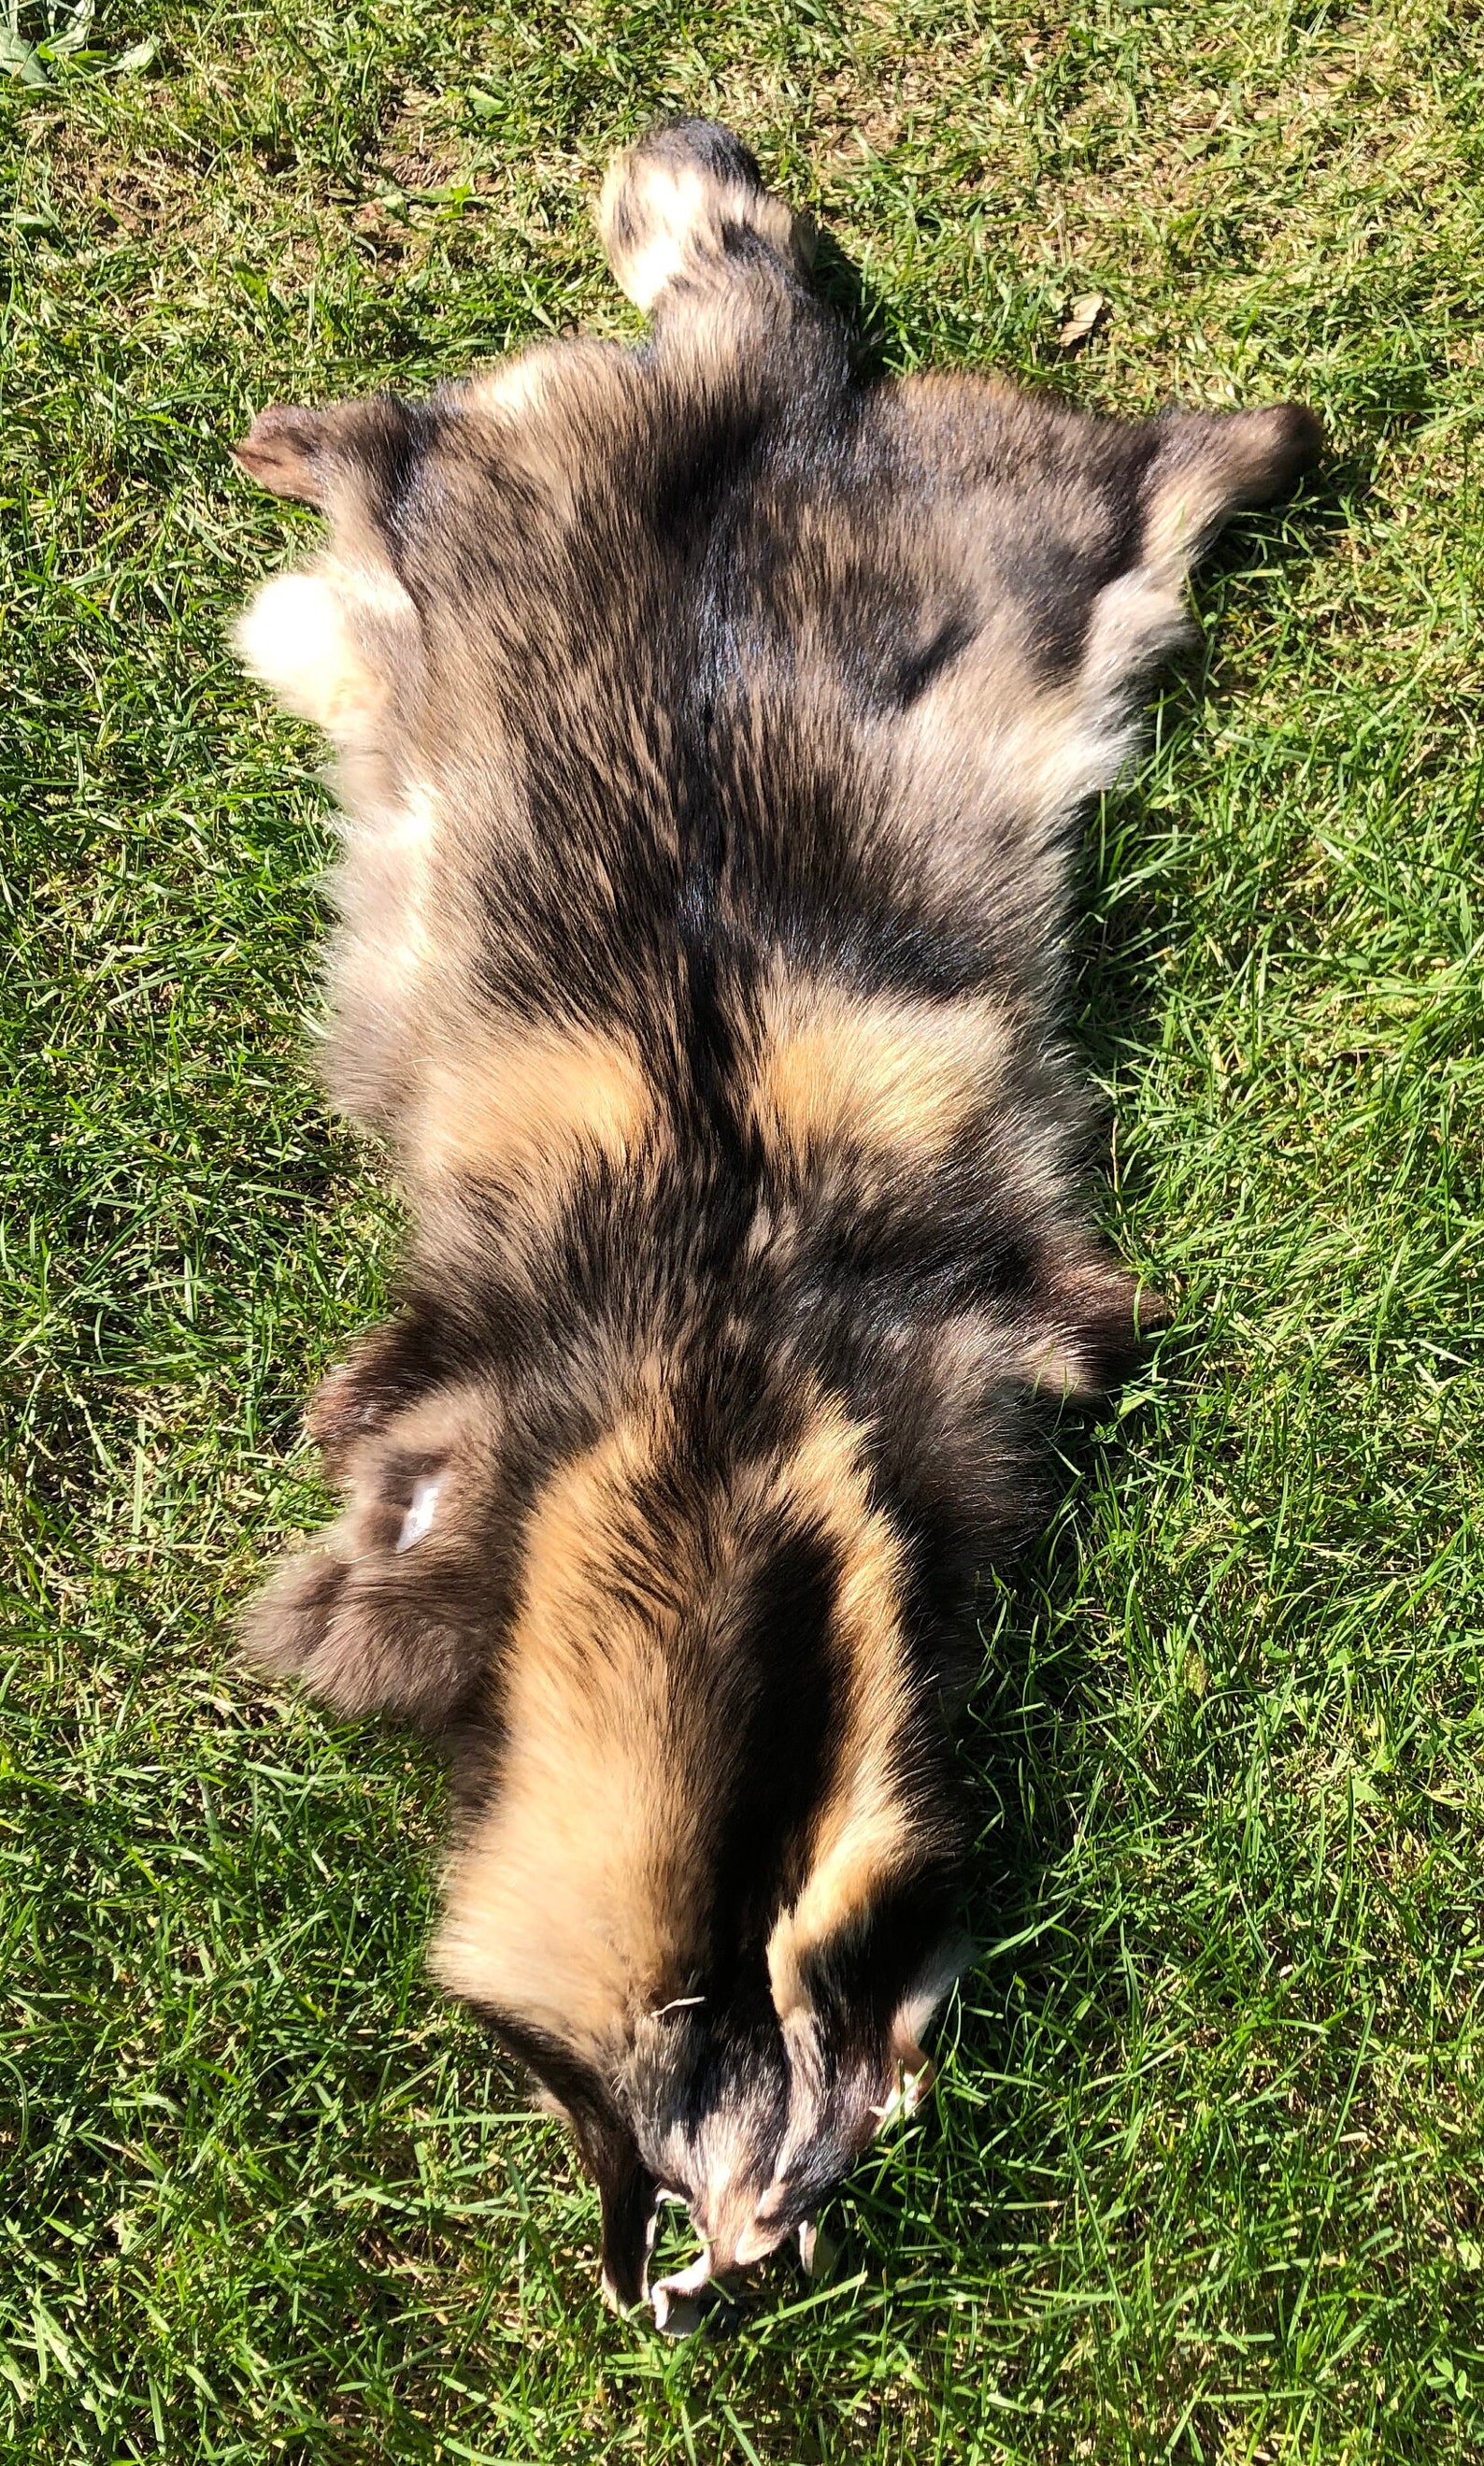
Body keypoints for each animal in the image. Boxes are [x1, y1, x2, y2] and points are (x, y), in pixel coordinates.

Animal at [232, 118, 1318, 2330]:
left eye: (809, 2120)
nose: (698, 2275)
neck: (721, 1393)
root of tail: (753, 411)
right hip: (916, 508)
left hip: (935, 518)